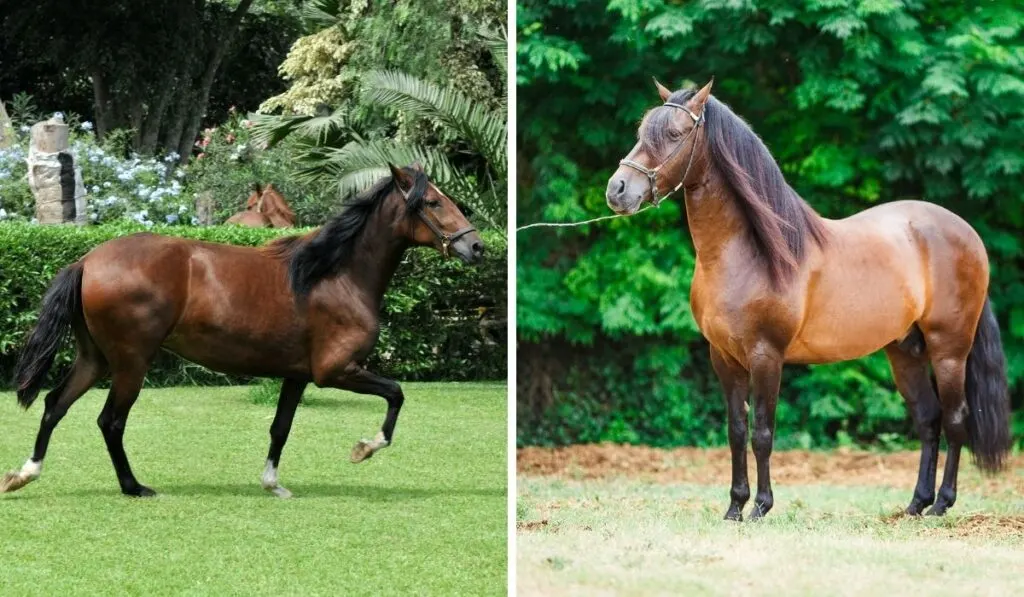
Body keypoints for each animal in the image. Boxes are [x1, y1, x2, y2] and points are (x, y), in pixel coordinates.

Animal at [0, 163, 483, 498]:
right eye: (434, 202)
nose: (475, 246)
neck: (334, 275)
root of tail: (87, 260)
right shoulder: (336, 371)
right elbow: (396, 394)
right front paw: (364, 448)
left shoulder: (297, 375)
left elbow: (280, 428)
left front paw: (273, 484)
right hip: (130, 362)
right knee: (110, 421)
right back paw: (133, 487)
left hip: (96, 358)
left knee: (54, 405)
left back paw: (23, 474)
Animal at [606, 79, 1012, 520]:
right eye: (642, 132)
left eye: (675, 134)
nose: (617, 190)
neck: (749, 253)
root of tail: (966, 233)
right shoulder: (724, 357)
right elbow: (736, 432)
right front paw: (734, 508)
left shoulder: (766, 356)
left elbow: (763, 433)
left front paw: (760, 507)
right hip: (904, 351)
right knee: (928, 419)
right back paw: (916, 503)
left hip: (949, 349)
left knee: (955, 420)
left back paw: (941, 504)